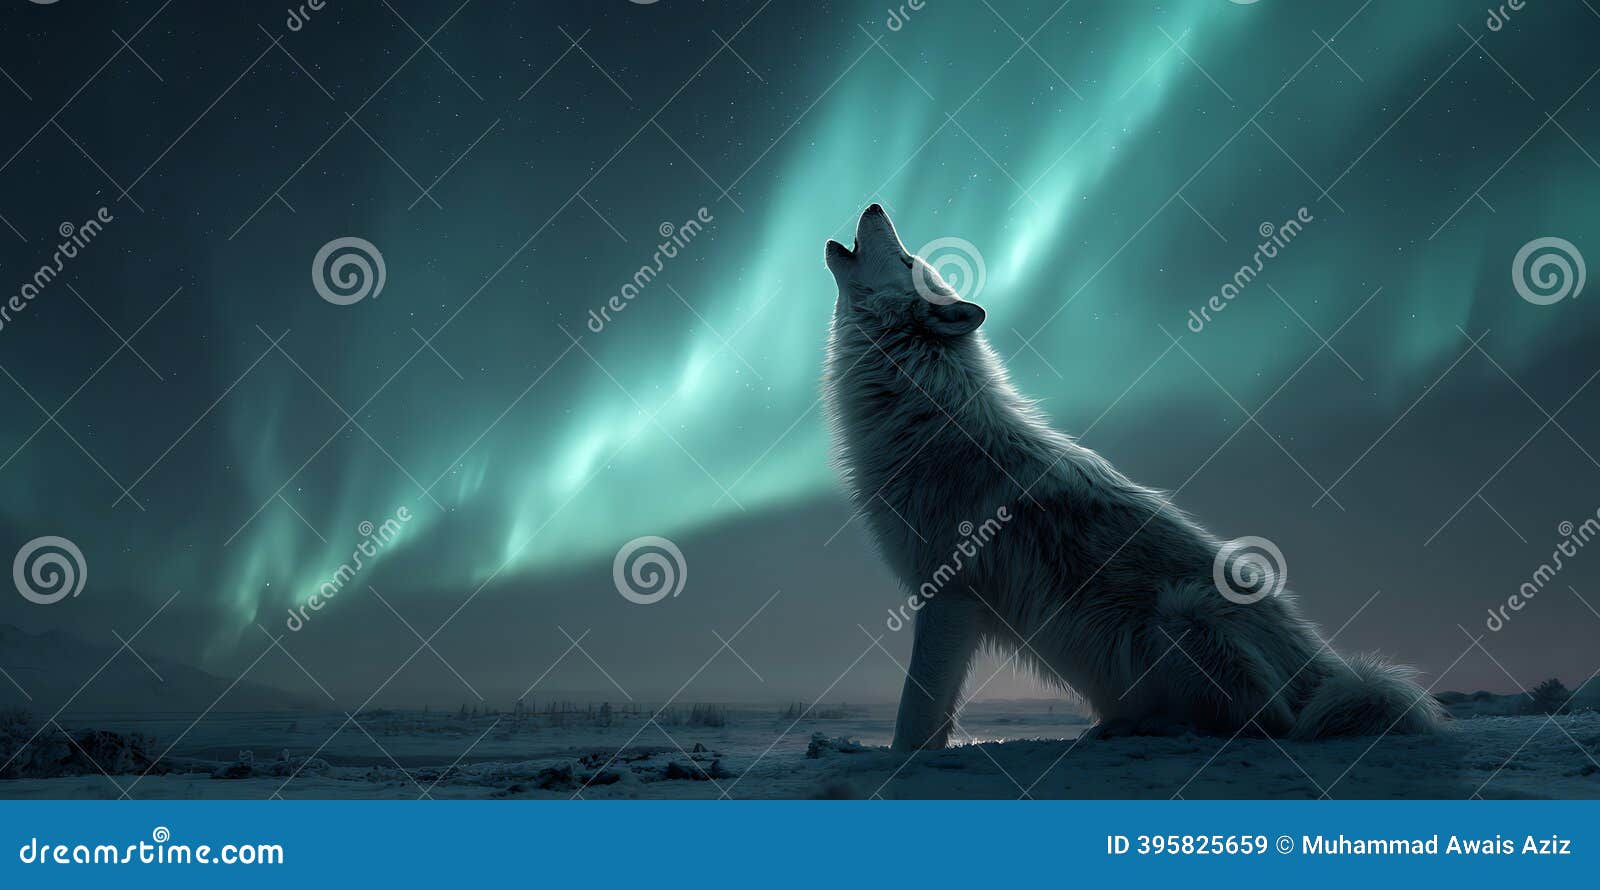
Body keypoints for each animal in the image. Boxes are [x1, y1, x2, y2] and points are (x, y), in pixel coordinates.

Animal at [823, 204, 1444, 751]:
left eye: (908, 260)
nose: (875, 205)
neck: (926, 416)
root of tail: (1323, 668)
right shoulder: (956, 606)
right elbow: (935, 710)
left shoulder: (948, 594)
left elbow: (915, 710)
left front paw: (893, 763)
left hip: (1182, 613)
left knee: (1270, 723)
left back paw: (1146, 728)